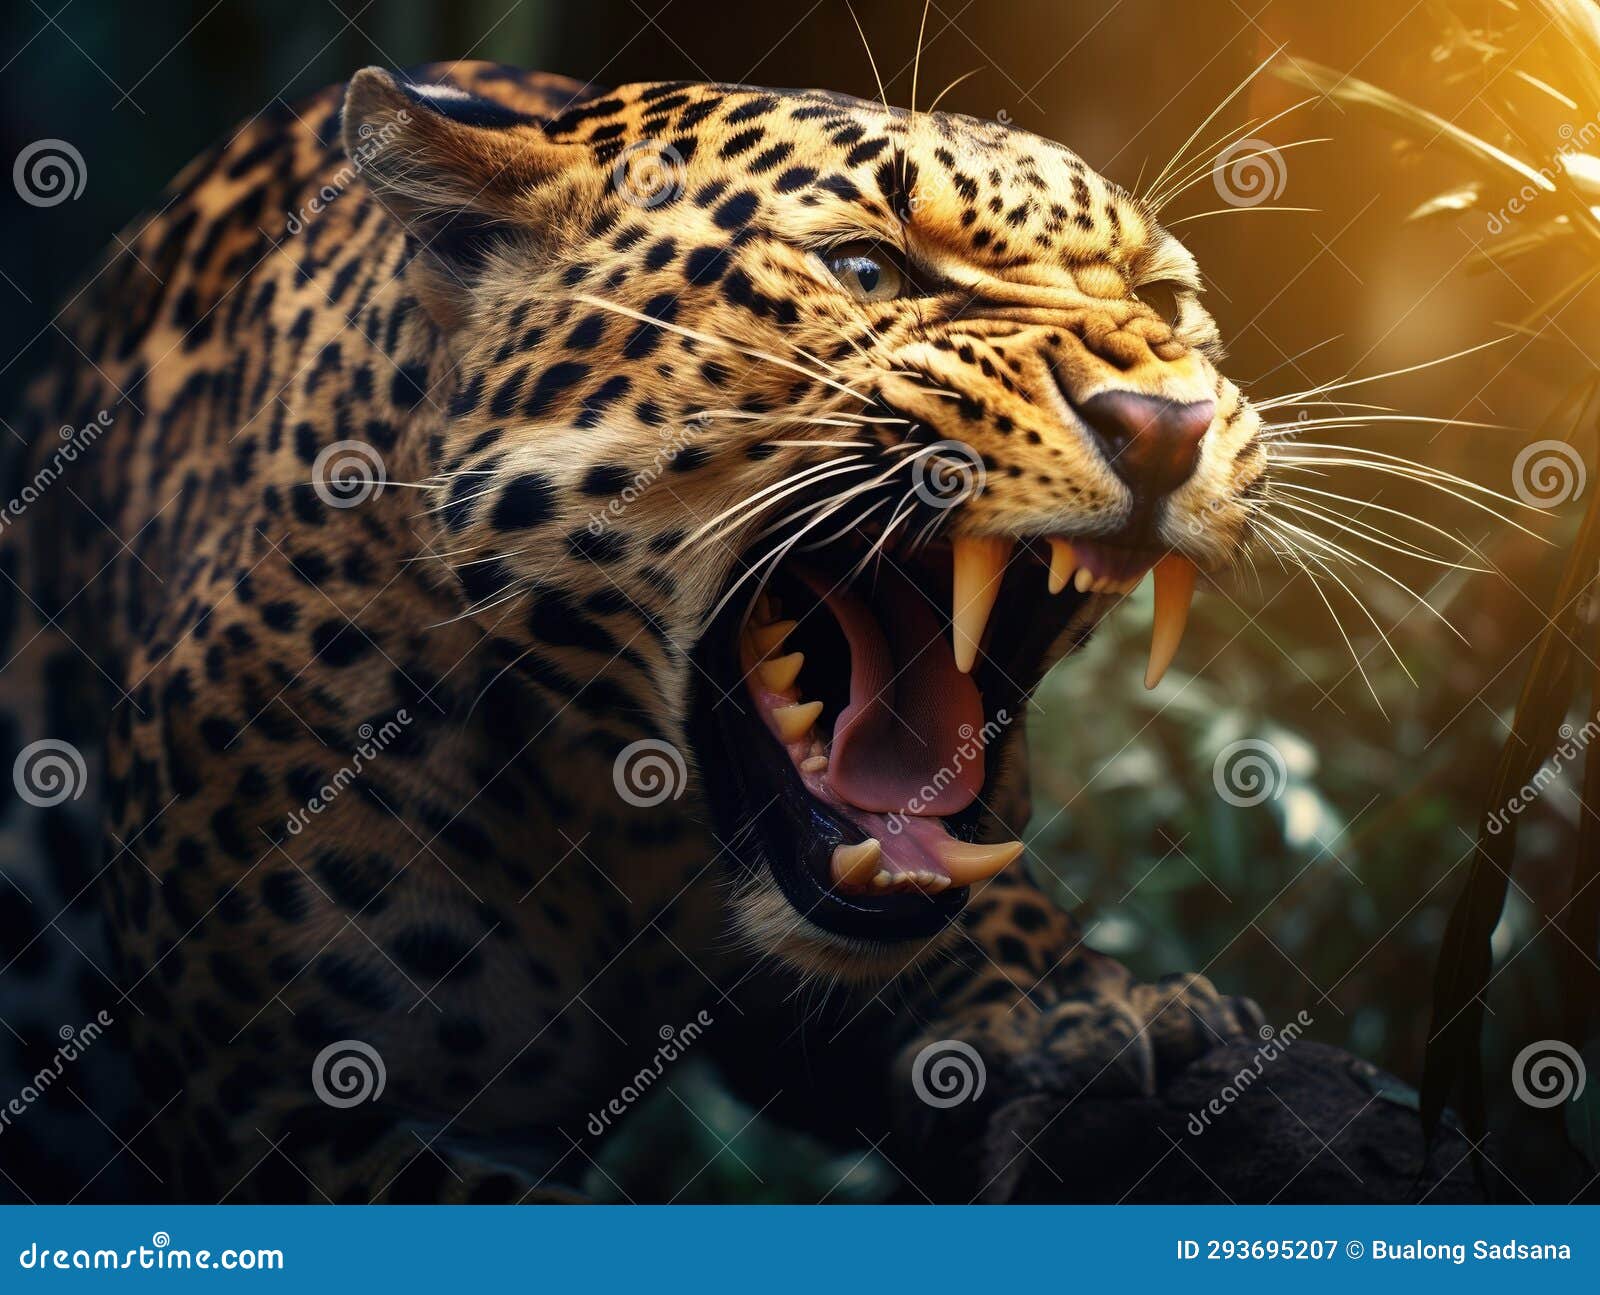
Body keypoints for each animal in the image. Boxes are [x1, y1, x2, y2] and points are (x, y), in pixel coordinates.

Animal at [0, 59, 1267, 1204]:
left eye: (1165, 307)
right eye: (864, 268)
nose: (1163, 423)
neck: (629, 810)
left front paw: (1079, 997)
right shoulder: (278, 1113)